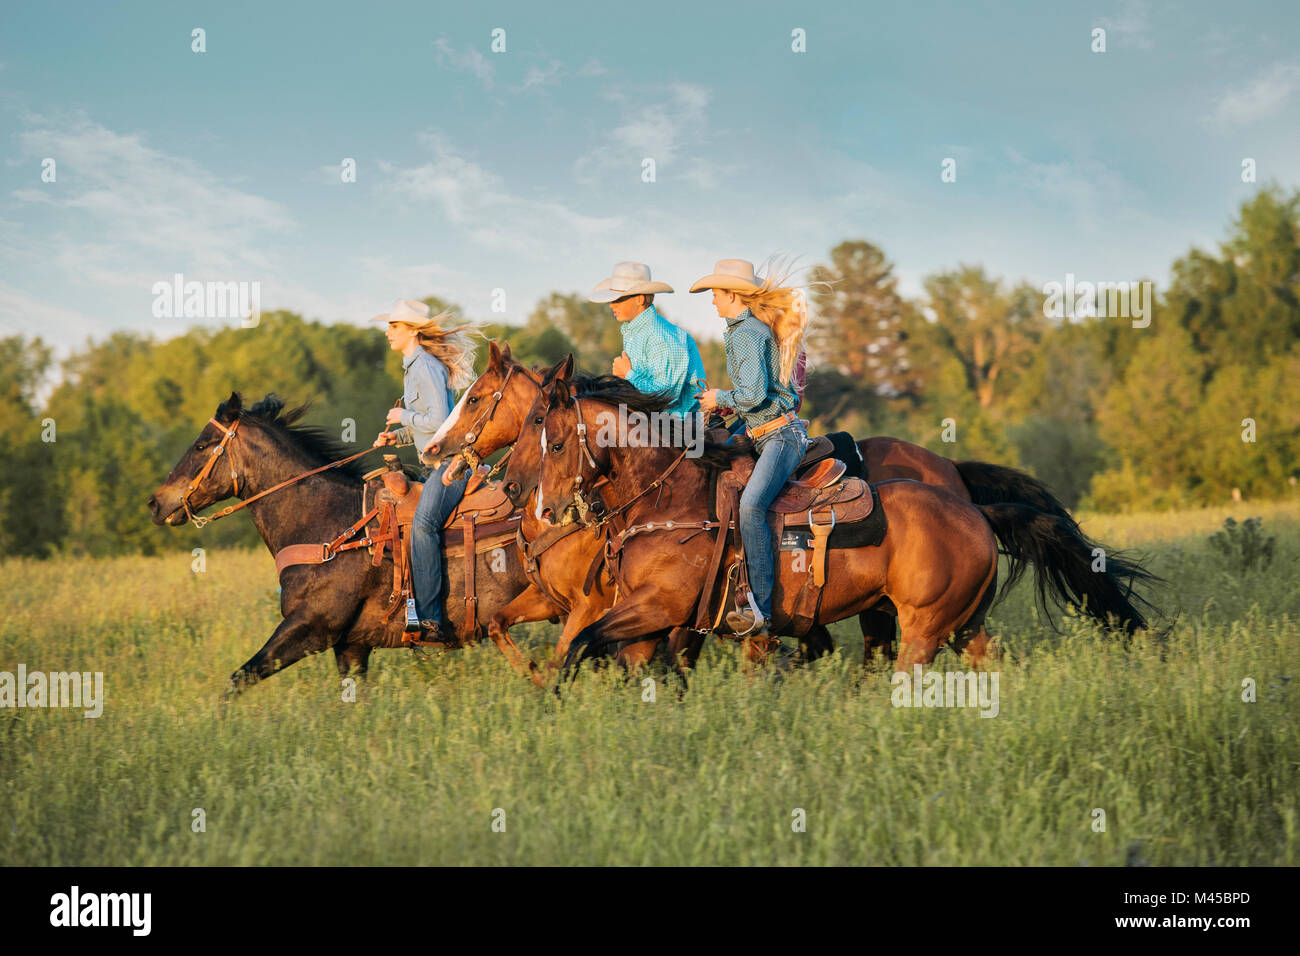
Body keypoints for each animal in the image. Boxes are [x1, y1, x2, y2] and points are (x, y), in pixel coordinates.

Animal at [147, 392, 562, 695]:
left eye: (203, 445)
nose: (155, 502)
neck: (330, 527)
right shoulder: (351, 646)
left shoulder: (310, 629)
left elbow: (239, 679)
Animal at [429, 345, 1157, 665]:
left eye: (549, 435)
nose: (518, 493)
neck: (666, 500)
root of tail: (967, 499)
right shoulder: (651, 619)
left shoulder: (642, 609)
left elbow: (579, 650)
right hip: (944, 619)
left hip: (917, 621)